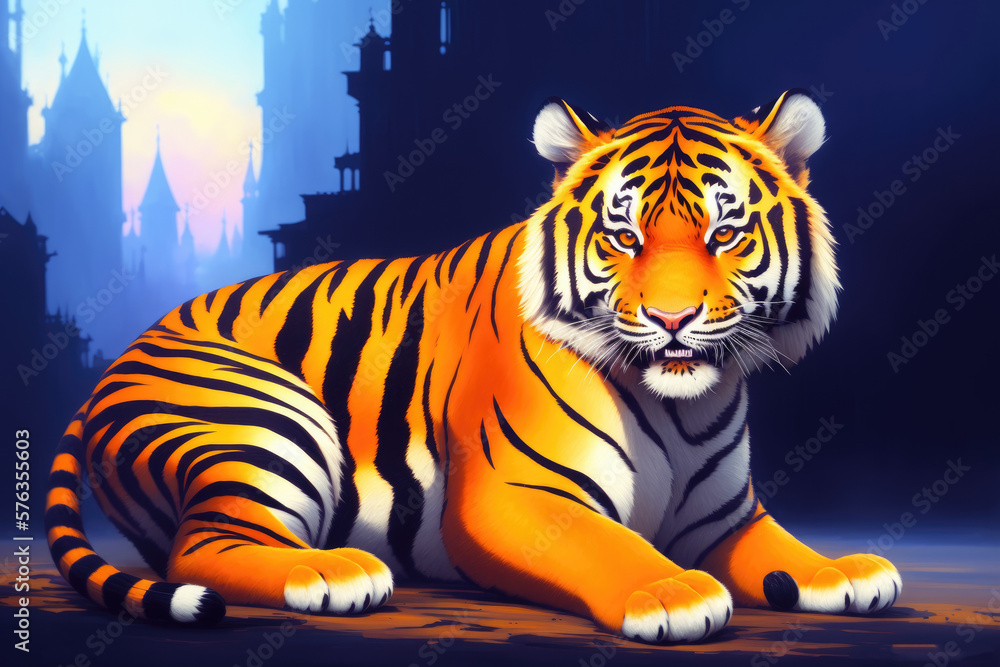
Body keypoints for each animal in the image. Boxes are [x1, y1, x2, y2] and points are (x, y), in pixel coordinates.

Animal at [46, 89, 901, 643]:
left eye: (725, 233)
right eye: (624, 236)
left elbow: (783, 551)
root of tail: (112, 363)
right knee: (205, 547)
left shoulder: (724, 517)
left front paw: (842, 570)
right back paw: (338, 572)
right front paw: (672, 588)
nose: (671, 319)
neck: (685, 405)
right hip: (269, 417)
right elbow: (613, 543)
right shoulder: (517, 499)